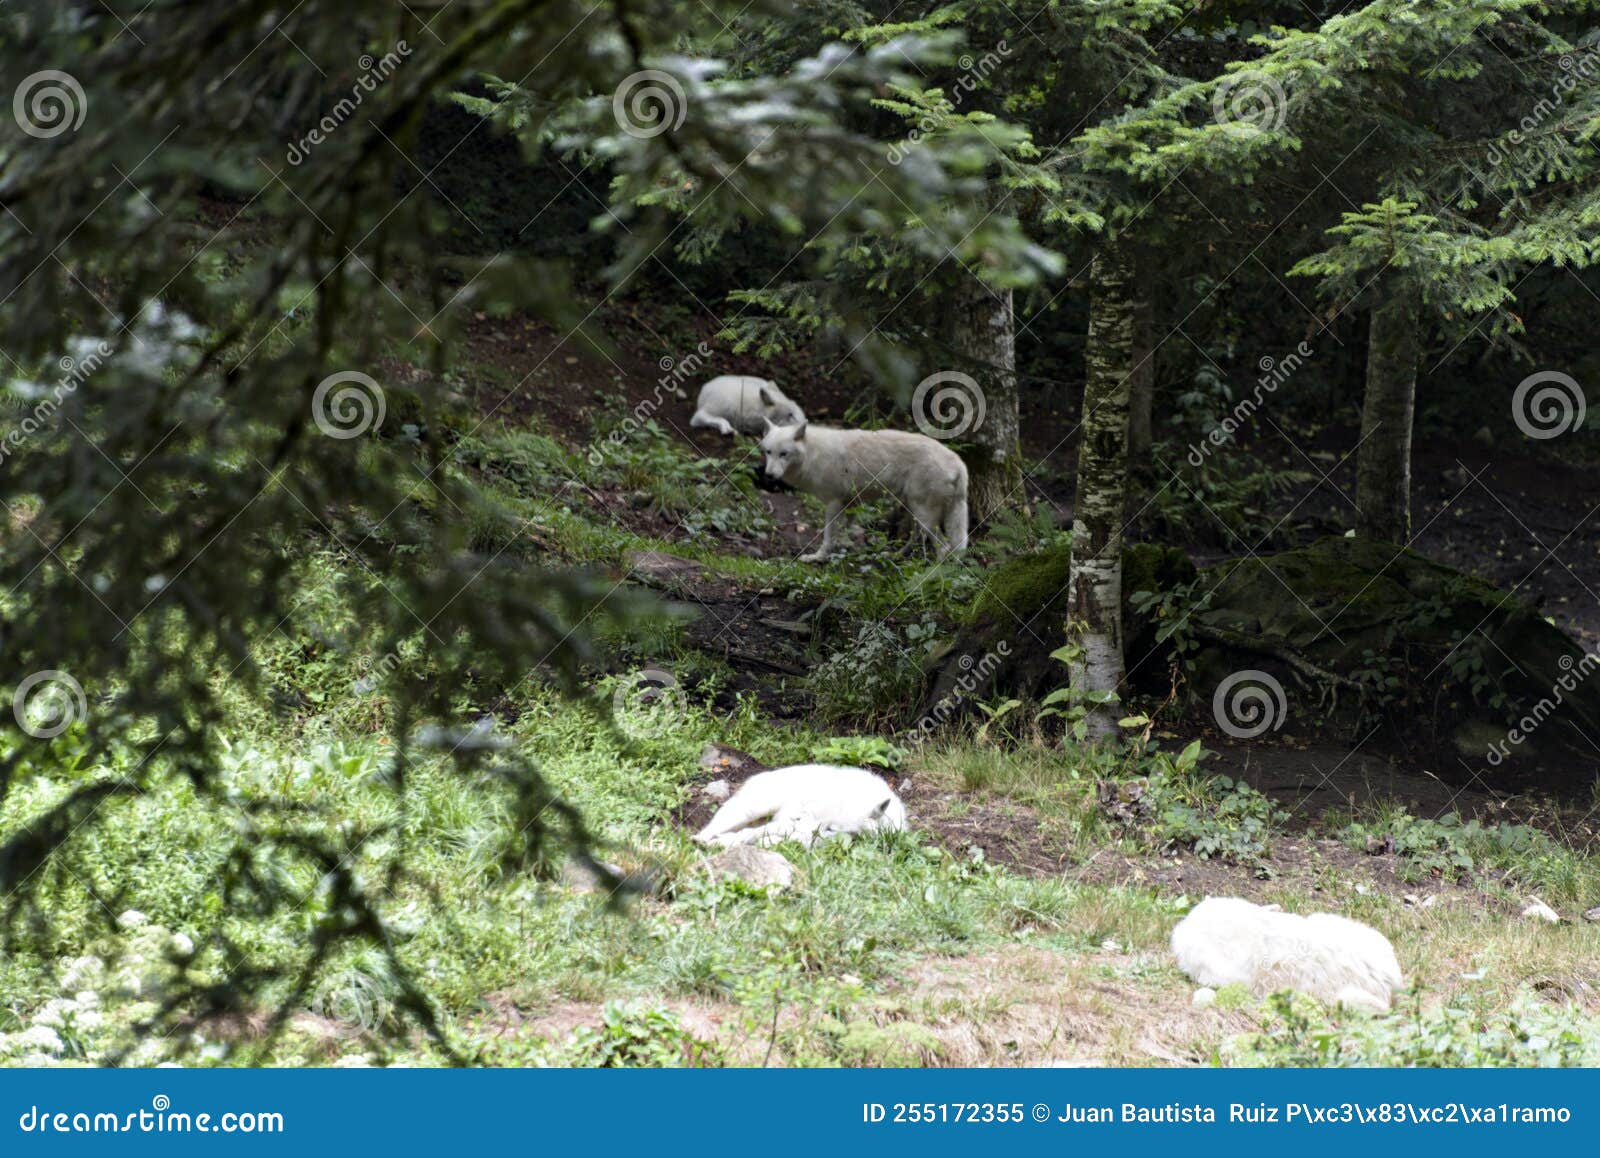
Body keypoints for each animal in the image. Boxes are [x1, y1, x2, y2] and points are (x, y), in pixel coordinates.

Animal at [759, 419, 968, 560]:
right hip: (915, 510)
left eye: (784, 454)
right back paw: (895, 556)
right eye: (768, 452)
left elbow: (828, 535)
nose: (769, 475)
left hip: (923, 514)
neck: (812, 453)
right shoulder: (851, 502)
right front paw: (843, 546)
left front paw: (818, 557)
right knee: (919, 537)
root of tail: (959, 463)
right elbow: (844, 529)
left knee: (943, 546)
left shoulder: (833, 503)